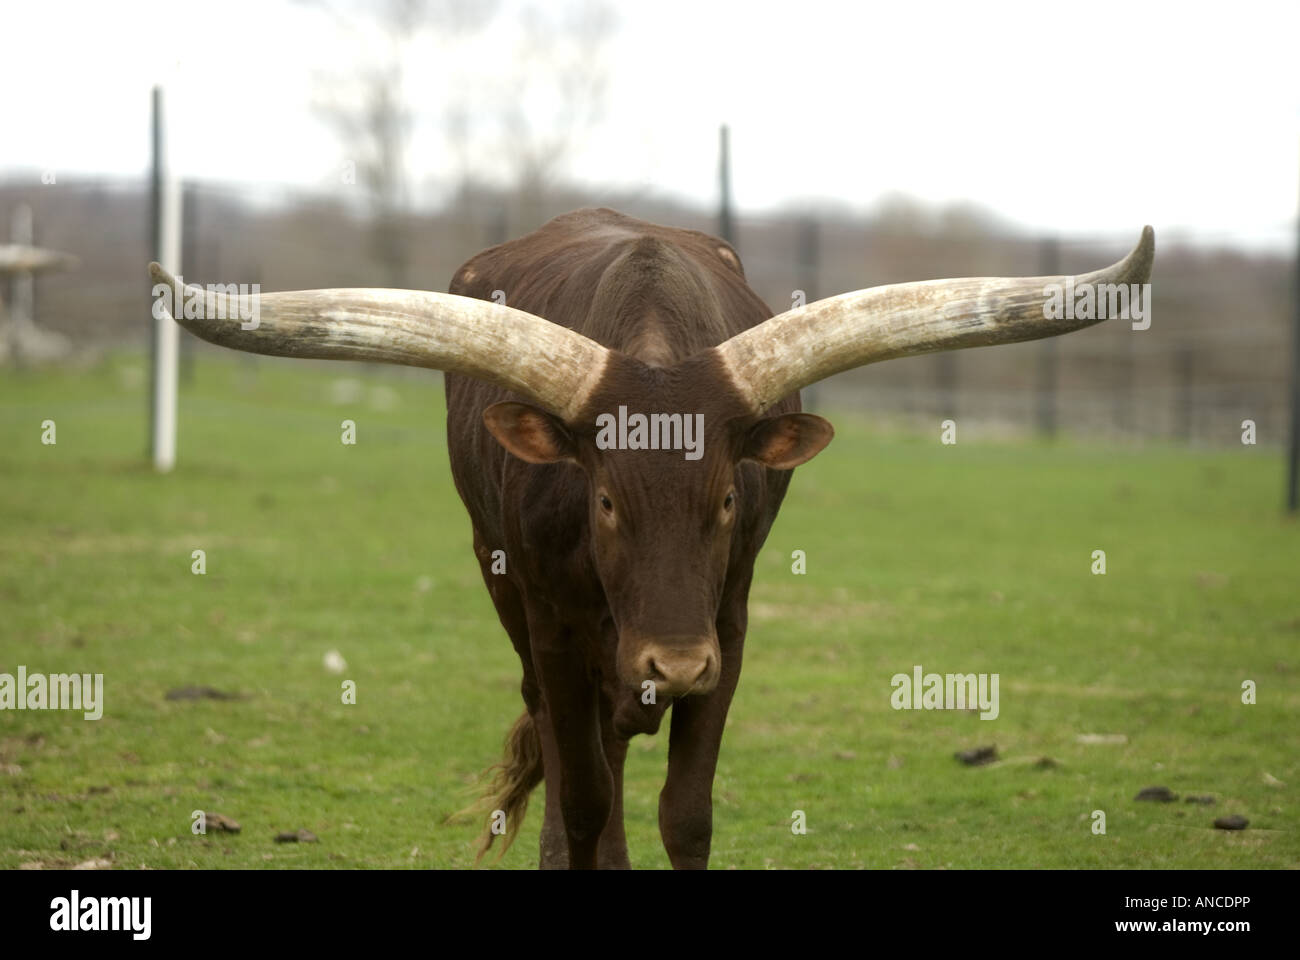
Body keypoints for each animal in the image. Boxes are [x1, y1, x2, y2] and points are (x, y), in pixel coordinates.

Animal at [151, 207, 1153, 869]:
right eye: (603, 500)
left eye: (725, 498)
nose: (673, 664)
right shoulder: (555, 620)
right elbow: (586, 790)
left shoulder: (729, 625)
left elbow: (687, 811)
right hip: (507, 587)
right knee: (572, 753)